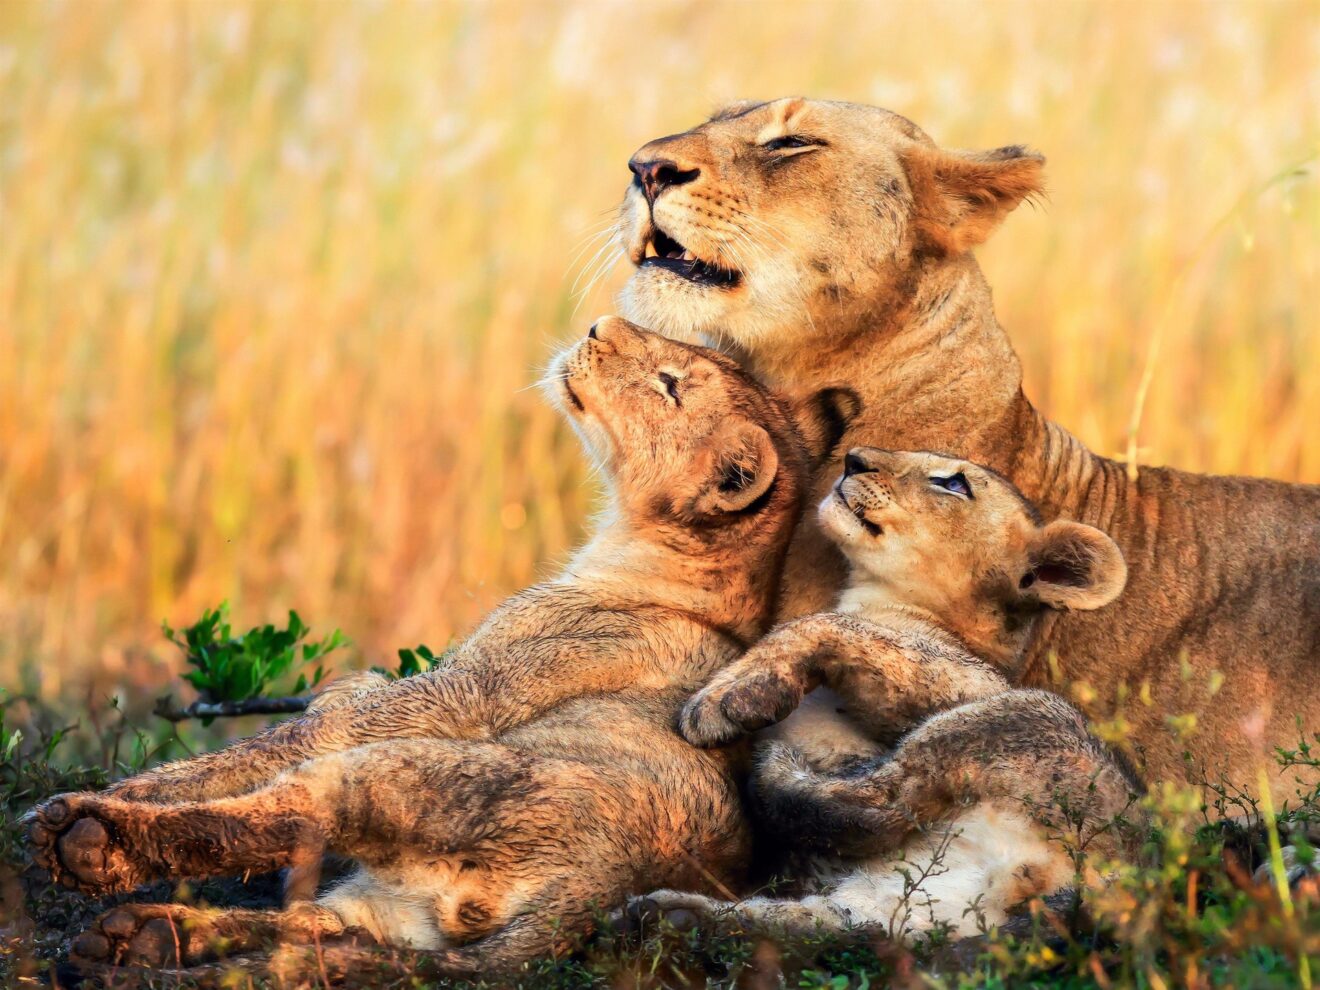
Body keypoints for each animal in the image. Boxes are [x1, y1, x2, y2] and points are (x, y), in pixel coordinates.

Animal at [25, 317, 851, 976]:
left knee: (277, 816)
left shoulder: (460, 693)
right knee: (316, 944)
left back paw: (89, 838)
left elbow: (276, 741)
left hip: (402, 774)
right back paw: (140, 942)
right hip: (392, 912)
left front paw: (120, 791)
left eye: (671, 385)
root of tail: (593, 891)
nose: (600, 324)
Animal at [634, 448, 1141, 939]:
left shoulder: (969, 681)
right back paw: (668, 918)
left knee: (882, 802)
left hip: (1023, 714)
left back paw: (775, 770)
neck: (879, 599)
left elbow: (822, 624)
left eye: (954, 483)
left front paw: (727, 698)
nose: (853, 460)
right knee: (828, 924)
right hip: (903, 902)